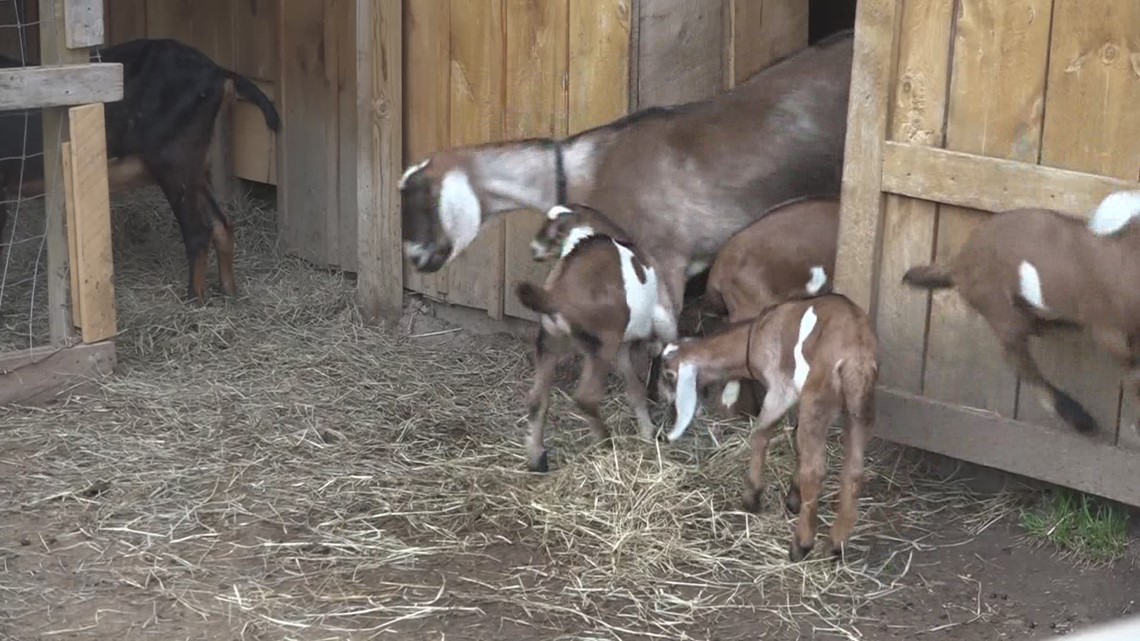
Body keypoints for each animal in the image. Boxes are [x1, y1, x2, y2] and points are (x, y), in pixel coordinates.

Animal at [0, 39, 281, 302]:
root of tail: (217, 72)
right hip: (195, 166)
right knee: (221, 223)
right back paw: (230, 293)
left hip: (173, 161)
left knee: (199, 231)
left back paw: (194, 300)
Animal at [514, 204, 677, 472]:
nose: (534, 249)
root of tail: (558, 296)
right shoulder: (662, 320)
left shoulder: (622, 346)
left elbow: (634, 389)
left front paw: (648, 430)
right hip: (601, 347)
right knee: (586, 398)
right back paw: (605, 441)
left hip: (550, 341)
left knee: (537, 399)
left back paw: (538, 458)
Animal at [659, 294, 878, 562]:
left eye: (667, 374)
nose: (662, 399)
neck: (755, 336)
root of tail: (856, 359)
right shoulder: (797, 396)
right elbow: (796, 443)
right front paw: (793, 497)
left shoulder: (780, 389)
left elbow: (760, 435)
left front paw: (752, 497)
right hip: (861, 410)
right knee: (853, 473)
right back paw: (835, 545)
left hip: (818, 398)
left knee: (815, 471)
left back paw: (801, 544)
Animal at [902, 191, 1140, 436]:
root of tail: (958, 264)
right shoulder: (1108, 329)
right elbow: (1132, 373)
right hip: (1000, 310)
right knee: (1020, 363)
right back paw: (1079, 418)